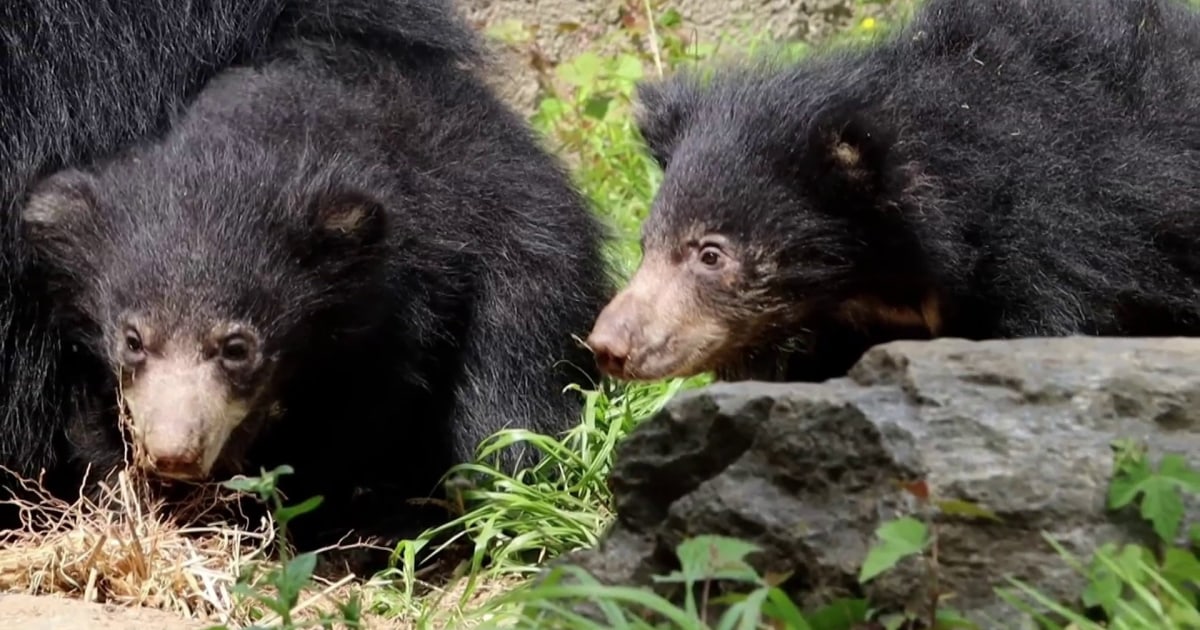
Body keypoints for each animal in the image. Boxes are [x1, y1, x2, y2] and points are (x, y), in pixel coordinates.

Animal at [19, 0, 611, 573]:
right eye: (133, 341)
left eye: (236, 348)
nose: (174, 456)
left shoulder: (401, 310)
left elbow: (357, 425)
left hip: (527, 275)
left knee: (510, 412)